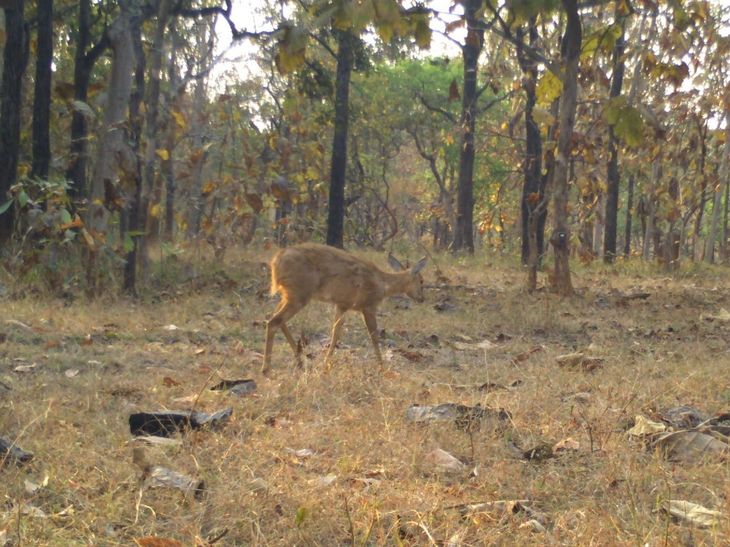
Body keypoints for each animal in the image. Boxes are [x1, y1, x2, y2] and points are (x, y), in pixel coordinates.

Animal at [262, 243, 427, 374]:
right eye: (421, 281)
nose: (422, 298)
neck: (382, 284)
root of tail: (276, 261)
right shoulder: (368, 305)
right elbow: (374, 336)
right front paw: (382, 366)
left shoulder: (342, 304)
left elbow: (335, 333)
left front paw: (326, 364)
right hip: (299, 293)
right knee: (274, 321)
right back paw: (267, 369)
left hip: (289, 294)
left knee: (273, 317)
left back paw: (300, 362)